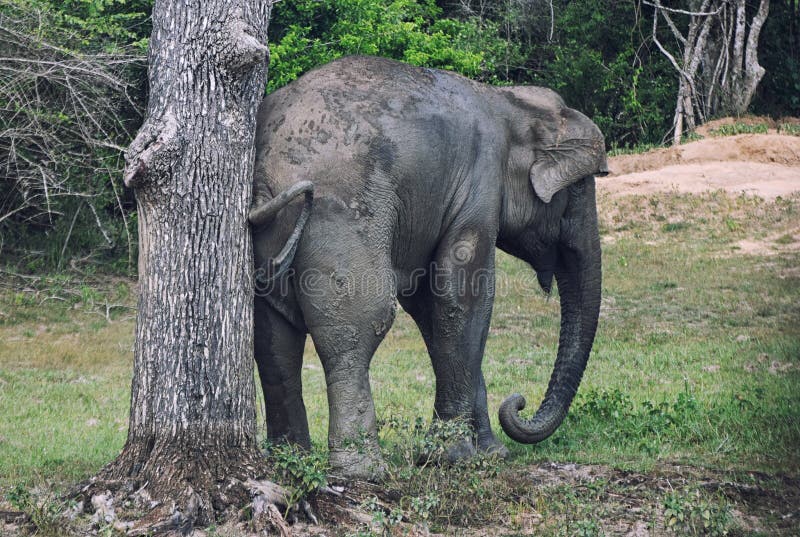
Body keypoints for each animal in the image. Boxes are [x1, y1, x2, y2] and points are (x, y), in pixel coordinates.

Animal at [250, 55, 607, 480]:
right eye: (580, 188)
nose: (518, 403)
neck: (509, 101)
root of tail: (266, 172)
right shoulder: (479, 186)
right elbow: (463, 292)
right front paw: (452, 457)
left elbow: (429, 306)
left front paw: (490, 454)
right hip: (340, 215)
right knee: (355, 325)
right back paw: (361, 471)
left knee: (273, 338)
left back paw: (290, 461)